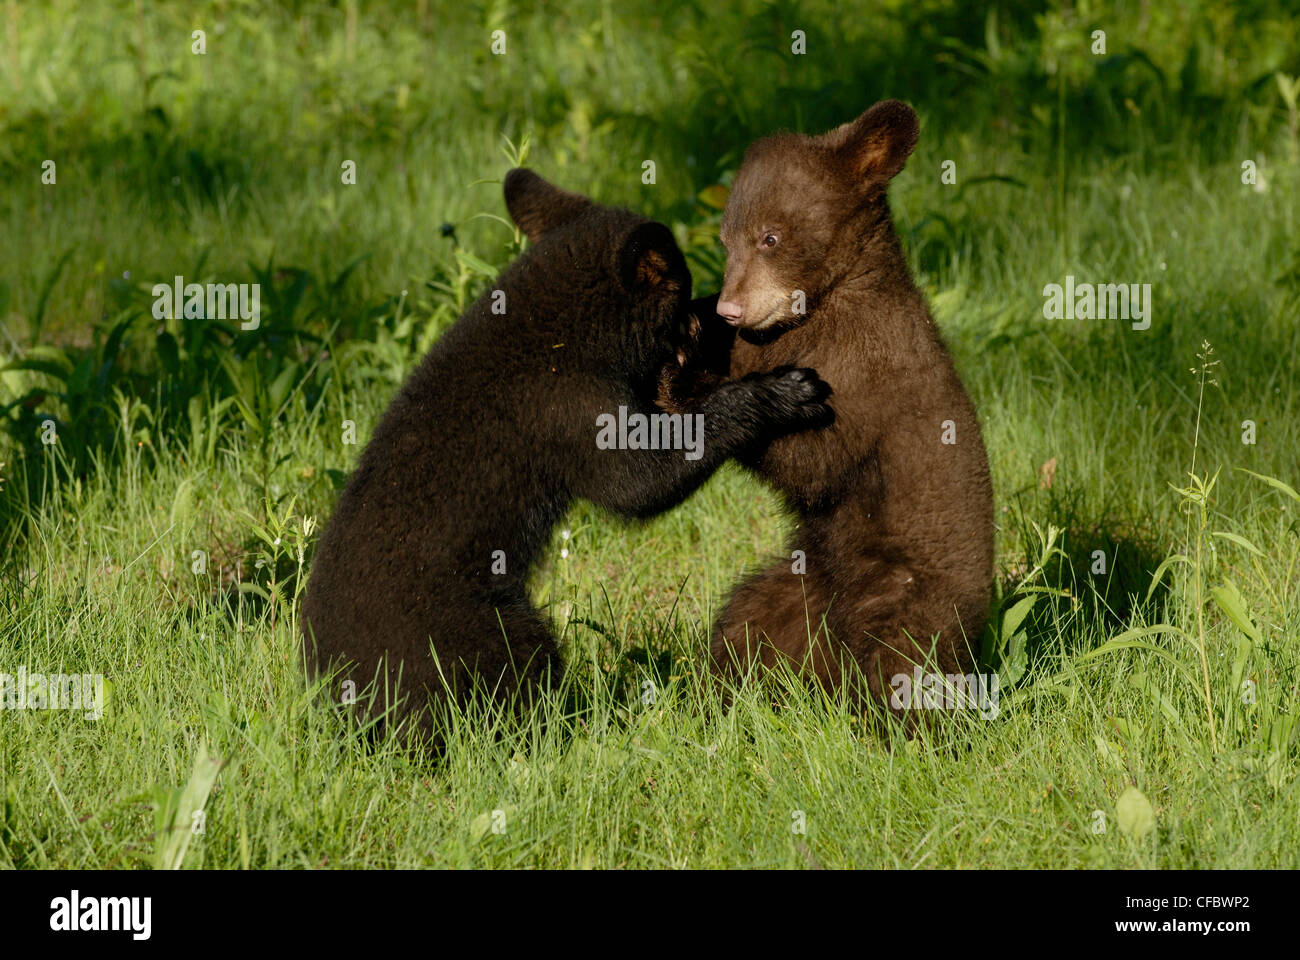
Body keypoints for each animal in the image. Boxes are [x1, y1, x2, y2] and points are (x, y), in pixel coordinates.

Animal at [301, 168, 833, 741]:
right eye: (685, 293)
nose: (717, 314)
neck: (560, 331)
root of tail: (338, 698)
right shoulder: (567, 405)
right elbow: (640, 479)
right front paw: (783, 391)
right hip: (469, 630)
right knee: (515, 675)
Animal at [662, 101, 994, 719]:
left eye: (770, 237)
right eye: (725, 241)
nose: (731, 307)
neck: (823, 304)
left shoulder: (863, 369)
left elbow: (815, 462)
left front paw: (694, 385)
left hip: (908, 595)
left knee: (907, 669)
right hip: (797, 588)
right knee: (744, 626)